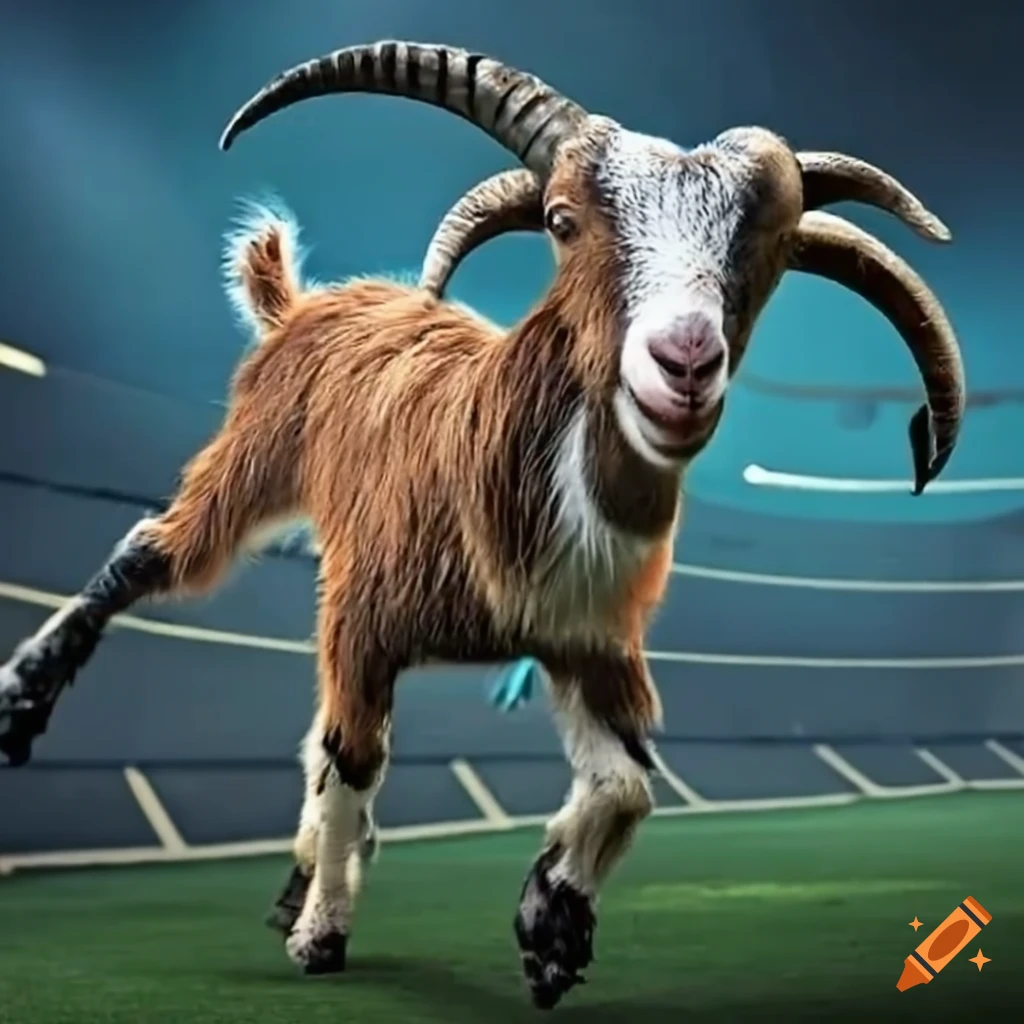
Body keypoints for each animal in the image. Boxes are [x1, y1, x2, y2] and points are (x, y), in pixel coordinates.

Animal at [0, 40, 965, 1009]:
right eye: (562, 221)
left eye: (767, 249)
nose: (683, 363)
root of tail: (300, 301)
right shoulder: (363, 619)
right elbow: (356, 757)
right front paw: (323, 936)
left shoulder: (588, 642)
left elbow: (627, 784)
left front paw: (551, 930)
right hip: (253, 459)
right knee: (160, 553)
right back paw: (25, 706)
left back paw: (296, 880)